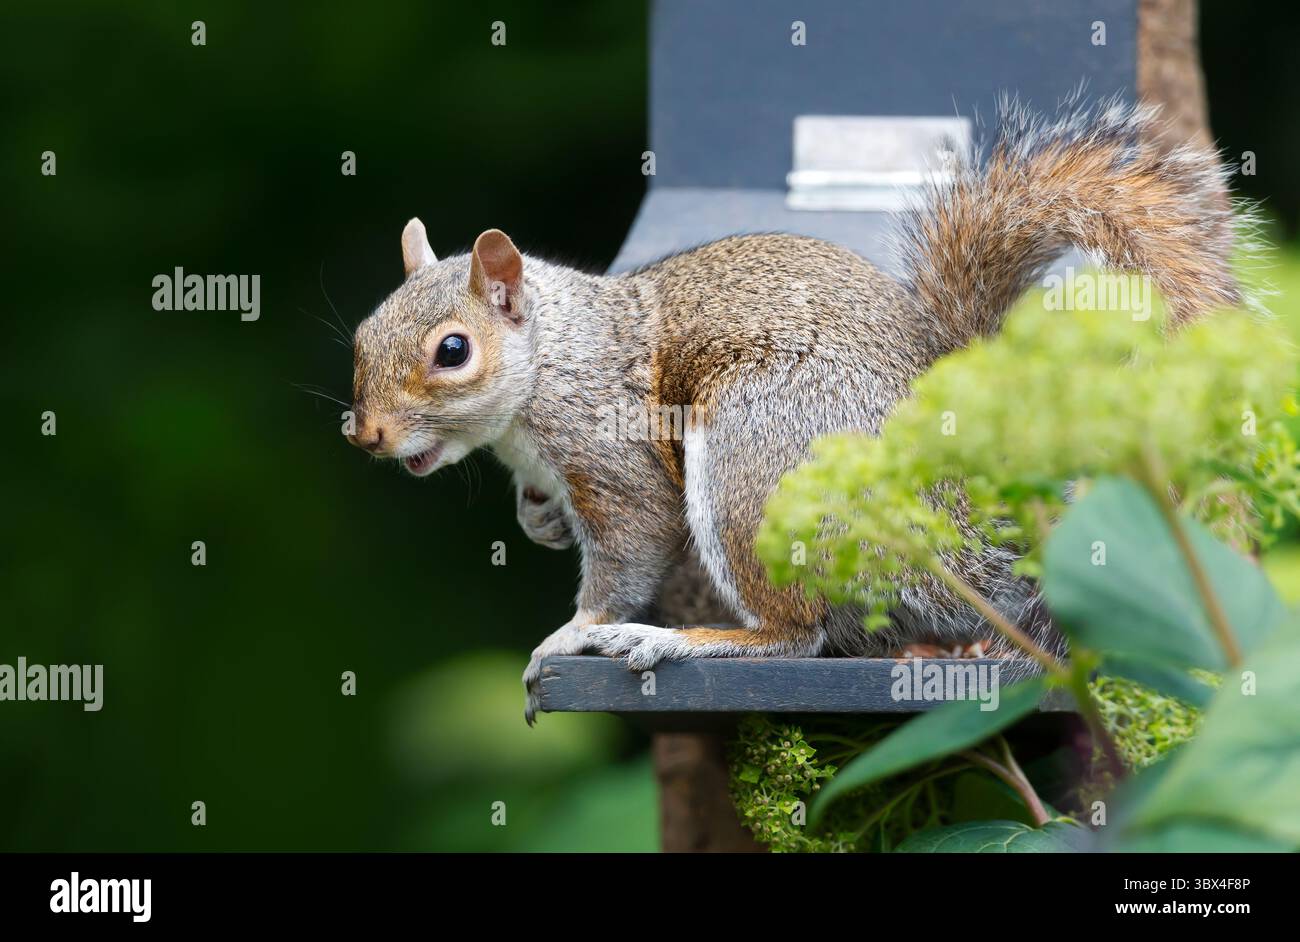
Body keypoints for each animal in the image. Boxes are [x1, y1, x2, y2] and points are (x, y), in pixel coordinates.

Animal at [347, 97, 1242, 724]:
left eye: (452, 350)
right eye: (360, 334)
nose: (366, 434)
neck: (549, 363)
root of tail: (961, 518)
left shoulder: (611, 449)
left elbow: (629, 550)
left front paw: (569, 635)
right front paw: (538, 518)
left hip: (757, 456)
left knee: (796, 633)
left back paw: (679, 639)